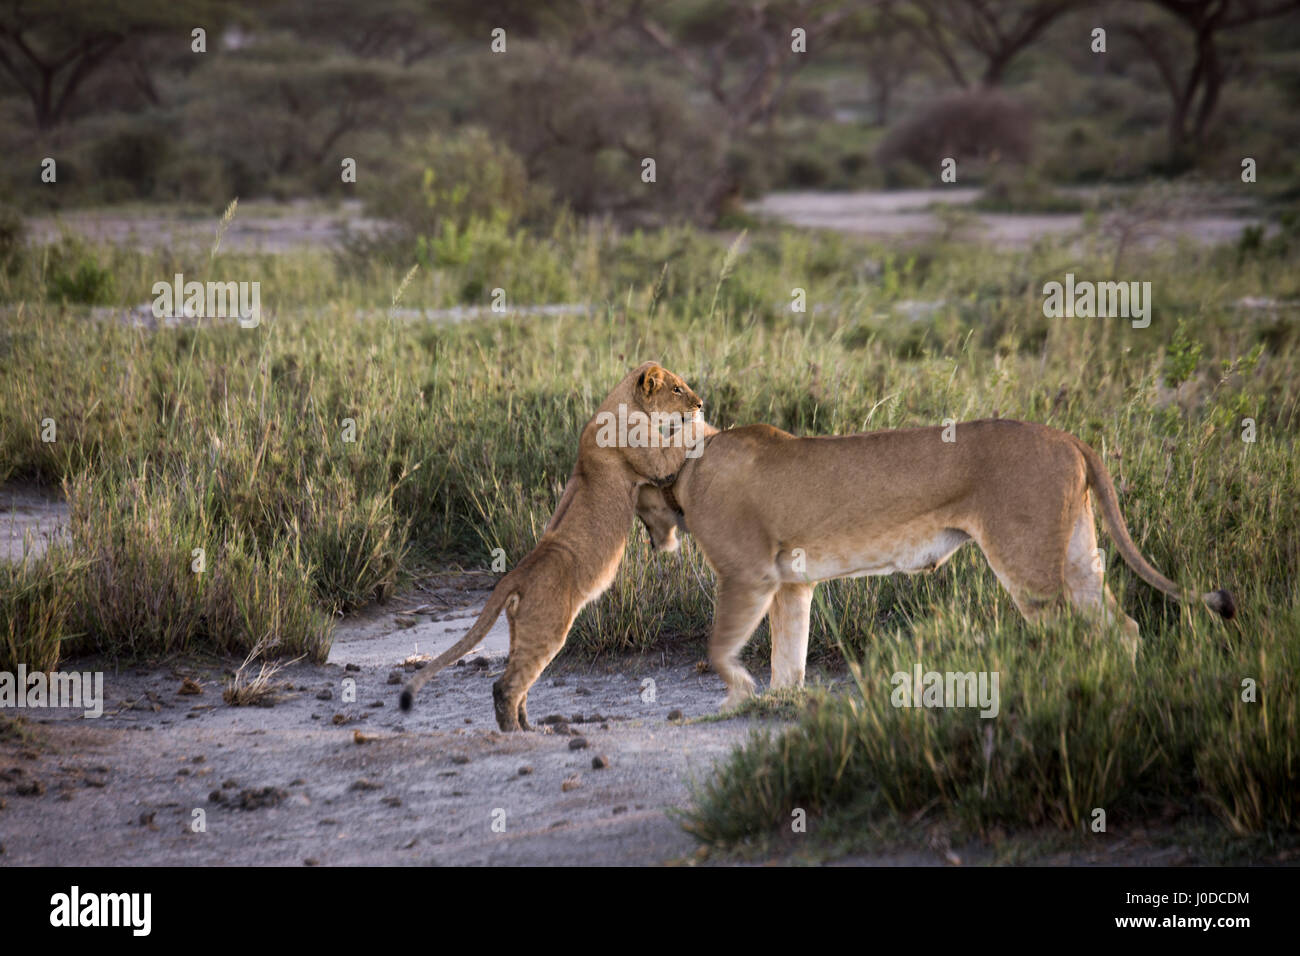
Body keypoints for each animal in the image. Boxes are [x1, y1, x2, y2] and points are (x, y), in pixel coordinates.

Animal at [399, 362, 704, 731]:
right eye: (676, 388)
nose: (700, 403)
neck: (620, 403)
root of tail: (514, 576)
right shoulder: (657, 462)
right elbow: (680, 442)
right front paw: (704, 424)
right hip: (547, 631)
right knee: (505, 686)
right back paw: (518, 735)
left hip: (522, 632)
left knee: (519, 686)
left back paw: (532, 727)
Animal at [636, 419, 1234, 709]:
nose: (650, 542)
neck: (687, 467)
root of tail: (1067, 437)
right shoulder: (791, 584)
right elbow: (790, 655)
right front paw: (780, 706)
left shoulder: (749, 577)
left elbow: (720, 646)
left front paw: (737, 697)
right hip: (1078, 555)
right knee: (1122, 626)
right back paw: (1120, 694)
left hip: (1027, 564)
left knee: (1074, 635)